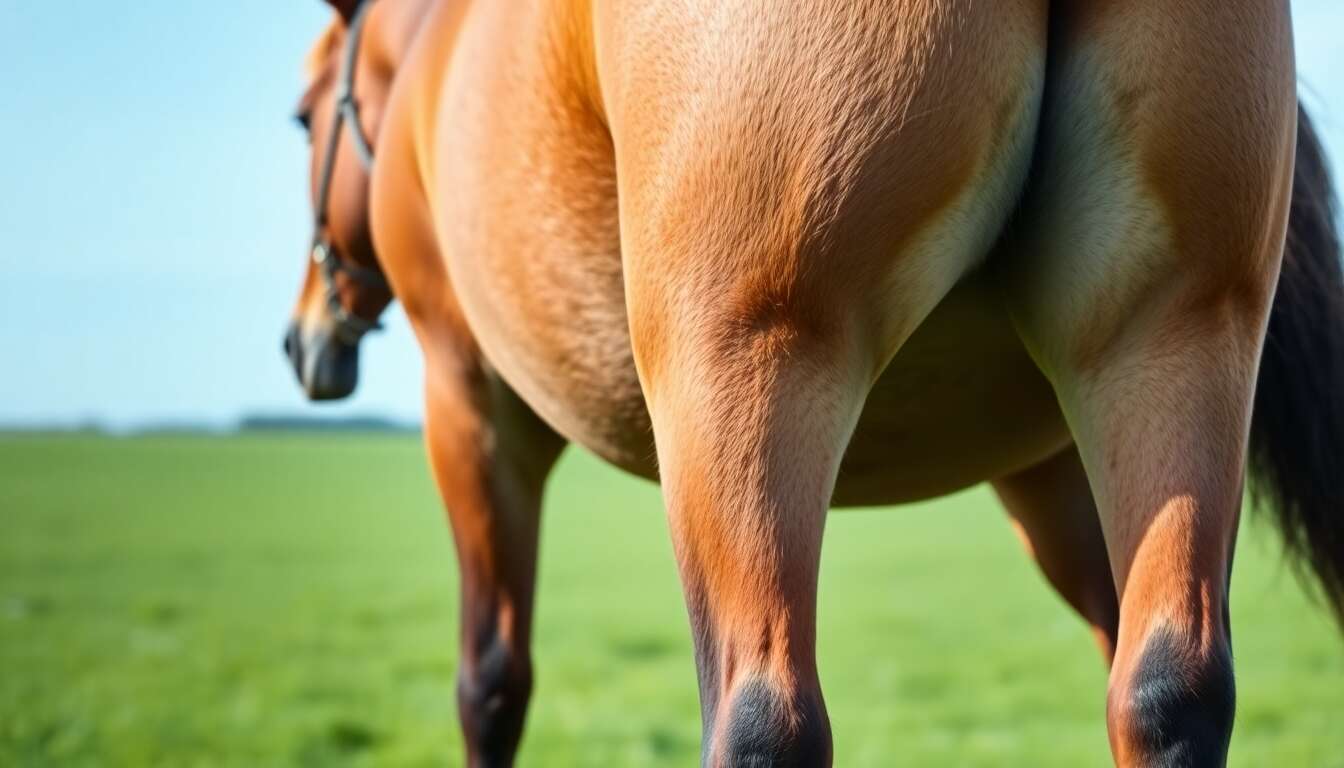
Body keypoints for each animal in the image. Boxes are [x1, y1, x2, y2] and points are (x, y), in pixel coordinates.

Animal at [283, 1, 1344, 765]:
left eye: (300, 118)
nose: (301, 342)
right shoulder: (1048, 458)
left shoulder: (470, 403)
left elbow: (491, 681)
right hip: (1169, 336)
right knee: (1165, 688)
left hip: (744, 372)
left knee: (766, 720)